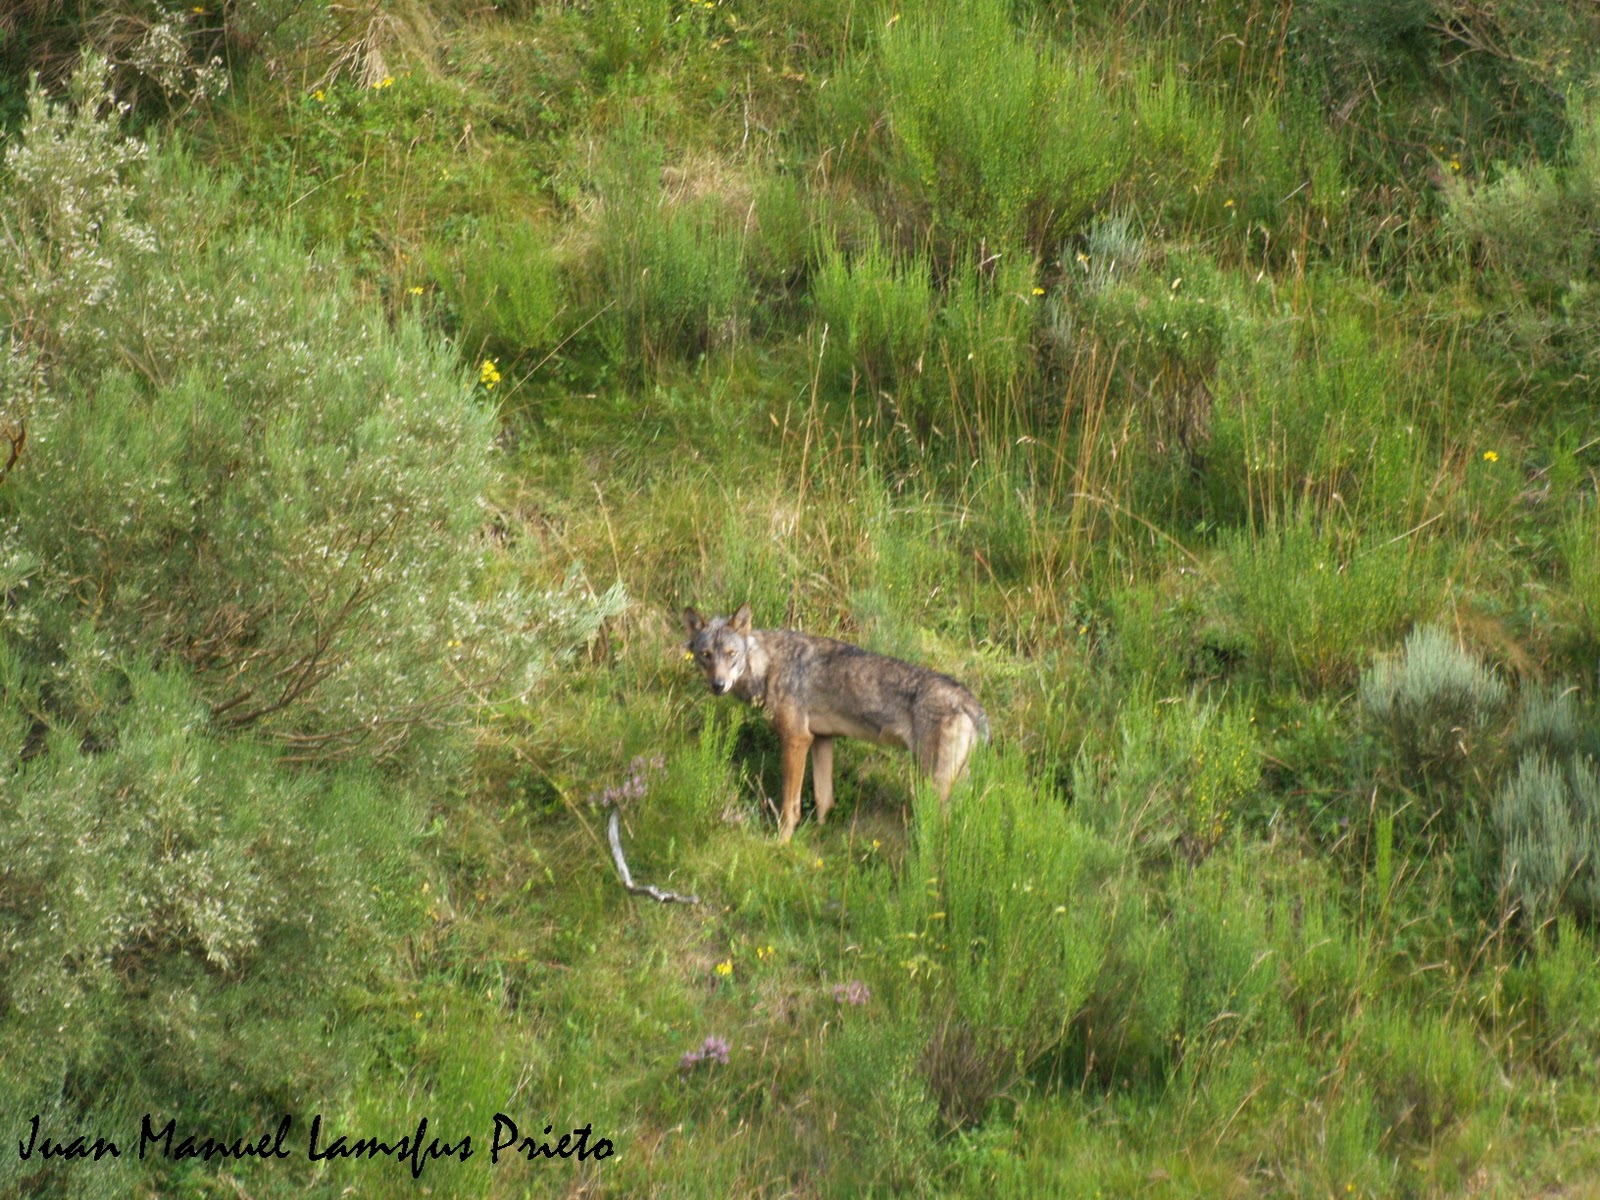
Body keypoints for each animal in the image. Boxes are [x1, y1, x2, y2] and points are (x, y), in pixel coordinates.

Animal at [682, 603, 989, 840]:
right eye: (706, 655)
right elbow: (824, 799)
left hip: (933, 785)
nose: (718, 685)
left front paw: (780, 844)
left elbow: (790, 807)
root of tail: (971, 701)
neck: (767, 666)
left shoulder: (796, 740)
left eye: (731, 654)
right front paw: (817, 836)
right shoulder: (821, 740)